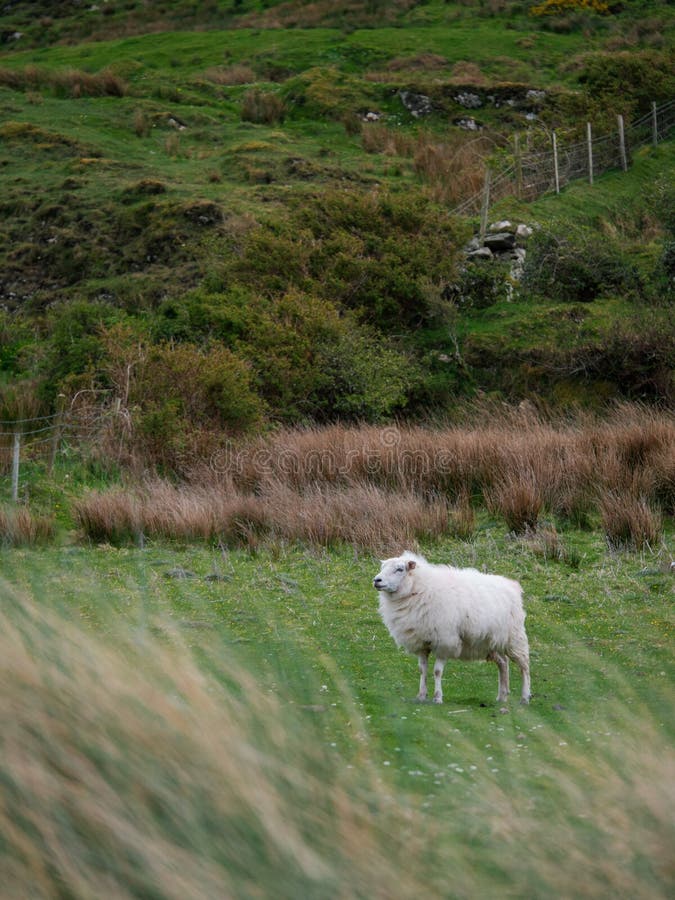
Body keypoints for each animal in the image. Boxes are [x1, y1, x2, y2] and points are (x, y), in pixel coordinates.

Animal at [373, 551, 531, 705]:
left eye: (400, 569)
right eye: (382, 567)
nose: (376, 580)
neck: (419, 587)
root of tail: (512, 585)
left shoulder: (444, 640)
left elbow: (437, 671)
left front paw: (437, 697)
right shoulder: (422, 642)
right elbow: (422, 670)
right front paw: (421, 695)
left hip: (515, 638)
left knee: (524, 667)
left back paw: (525, 697)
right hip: (490, 642)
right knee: (503, 664)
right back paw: (502, 696)